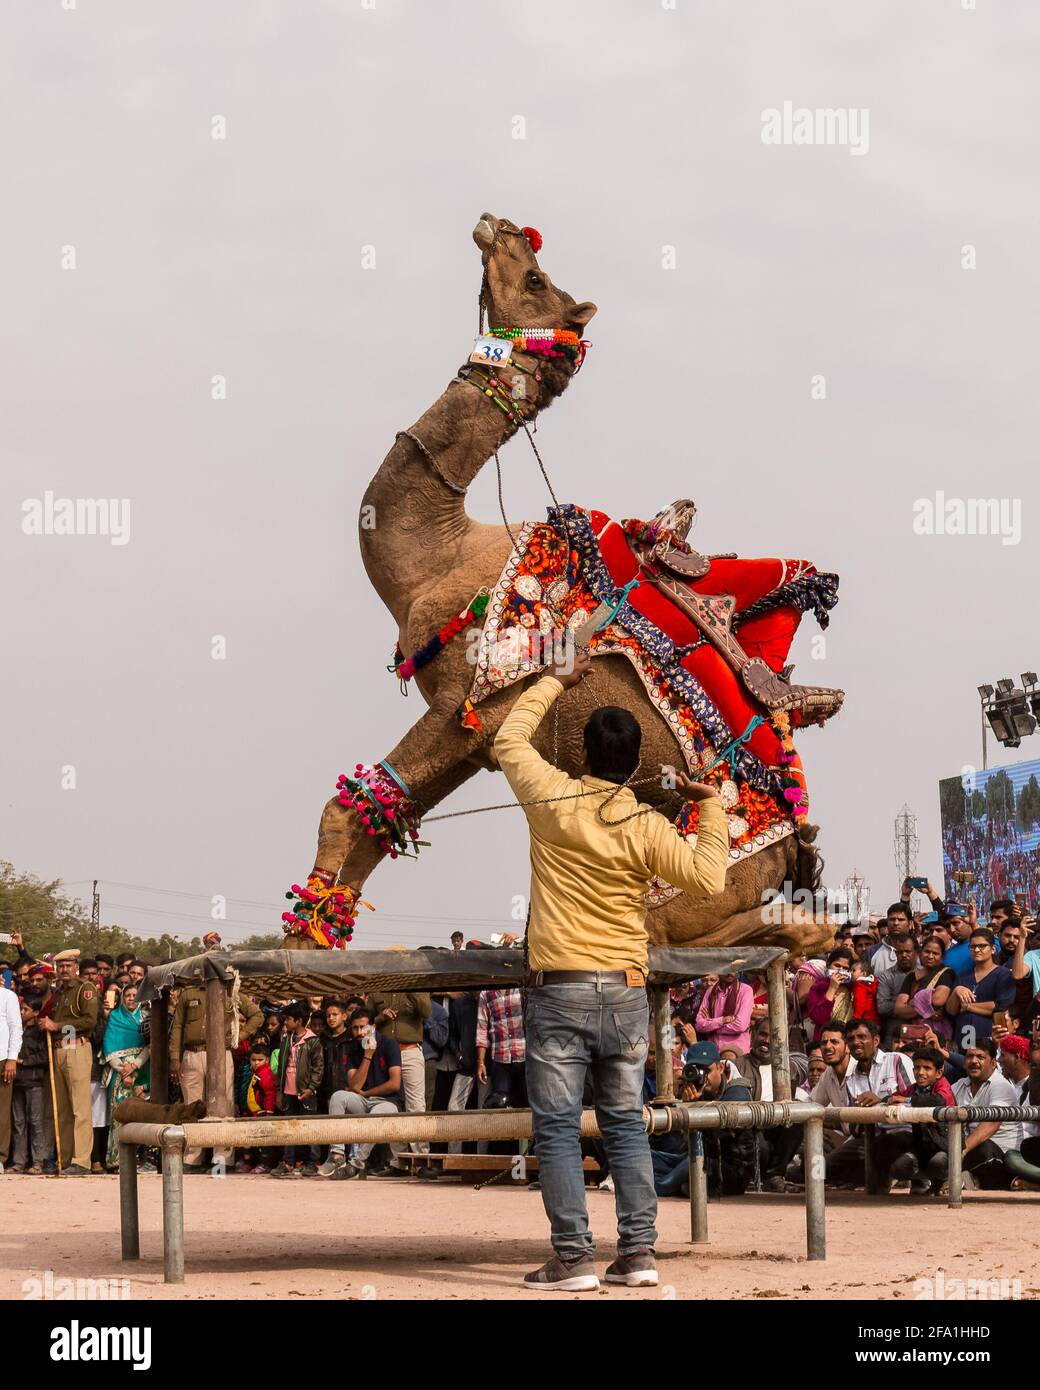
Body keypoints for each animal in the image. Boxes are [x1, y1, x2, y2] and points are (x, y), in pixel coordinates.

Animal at [290, 213, 838, 954]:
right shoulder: (475, 736)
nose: (498, 223)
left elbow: (342, 811)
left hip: (700, 860)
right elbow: (378, 821)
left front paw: (288, 962)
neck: (442, 556)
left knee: (707, 928)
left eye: (534, 280)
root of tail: (792, 853)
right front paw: (318, 934)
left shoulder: (468, 704)